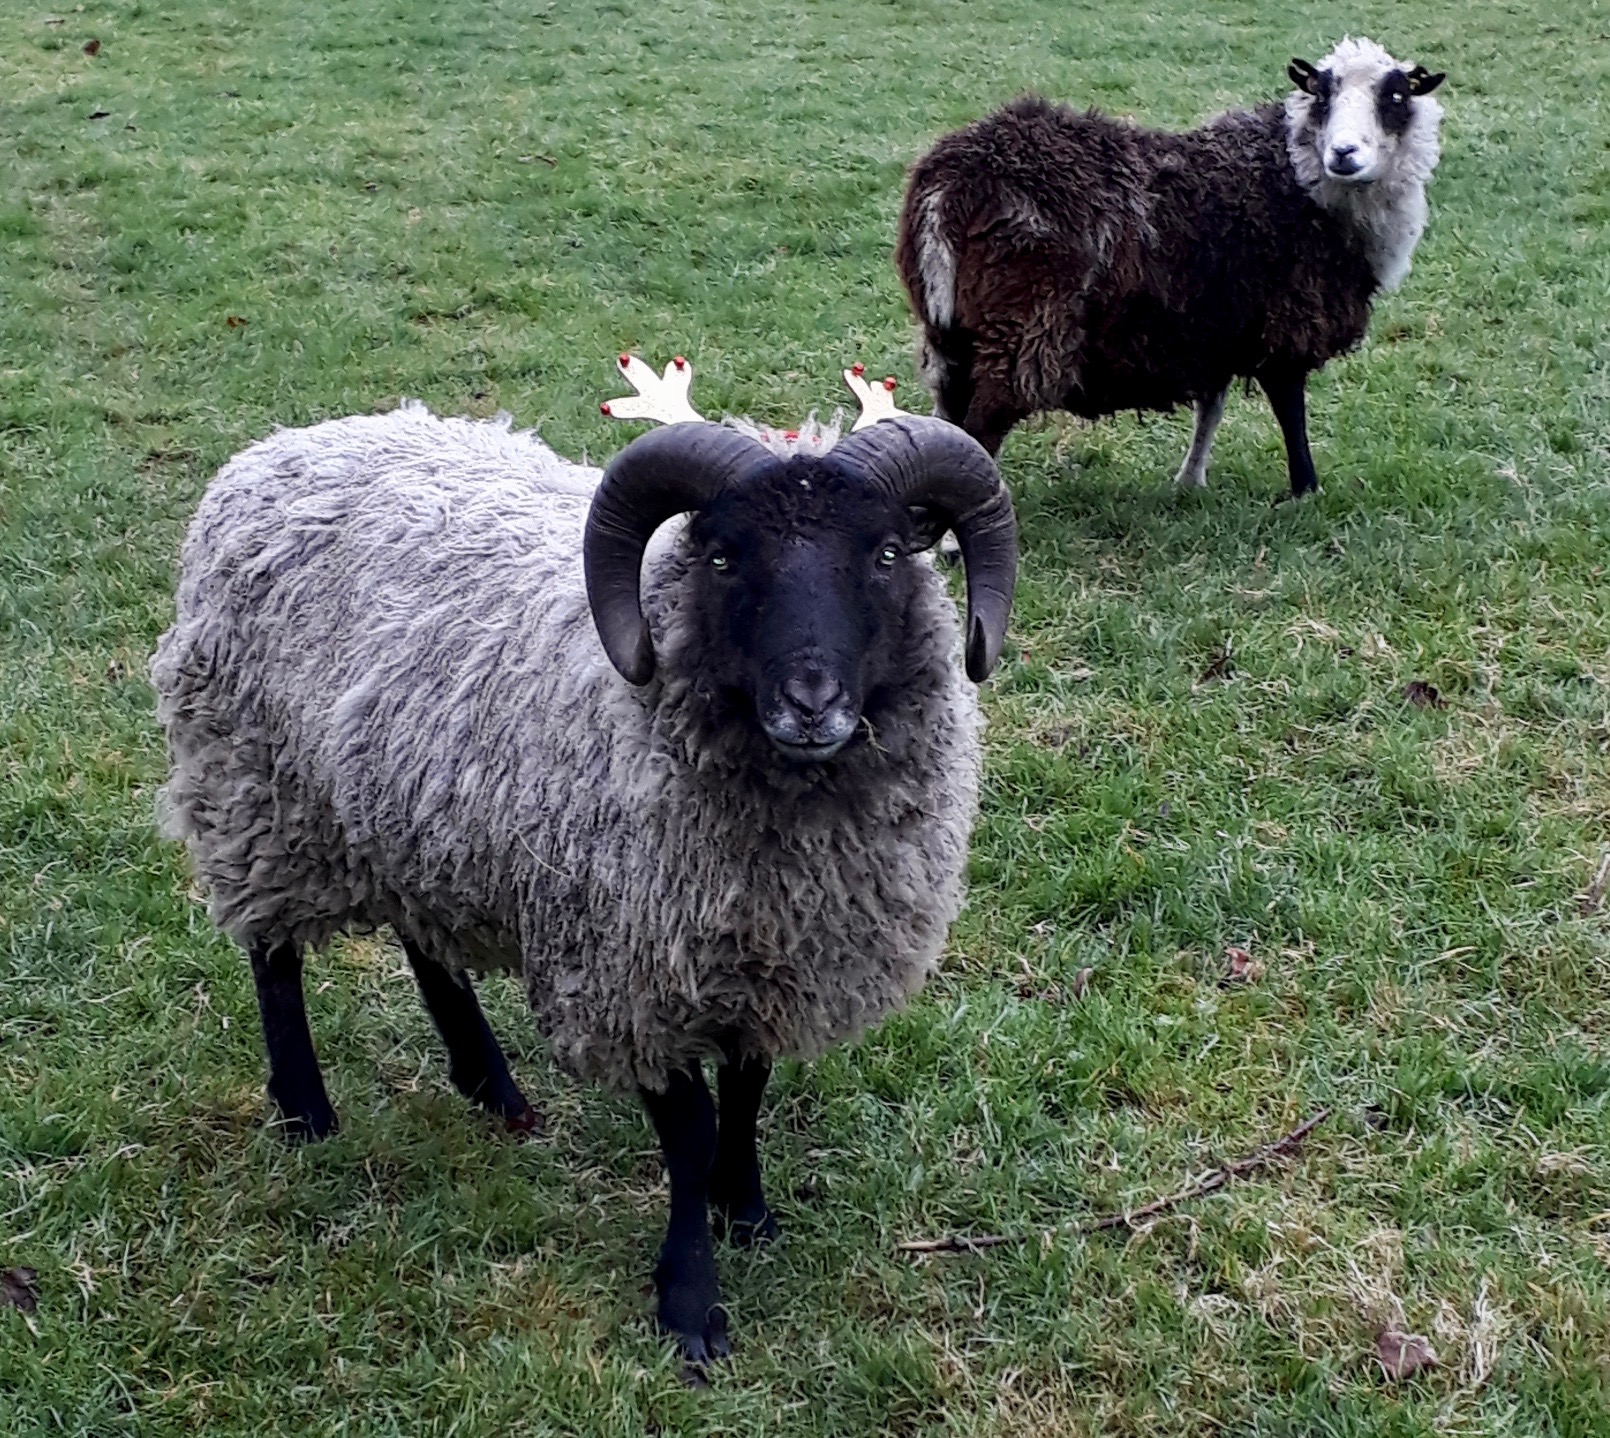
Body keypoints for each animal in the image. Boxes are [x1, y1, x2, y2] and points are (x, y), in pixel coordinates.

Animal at [150, 393, 1017, 1367]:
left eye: (887, 554)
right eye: (723, 557)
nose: (811, 703)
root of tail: (284, 447)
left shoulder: (762, 956)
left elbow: (748, 1090)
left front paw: (746, 1209)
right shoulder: (630, 971)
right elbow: (689, 1131)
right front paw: (690, 1303)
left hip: (409, 806)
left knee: (423, 937)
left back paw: (491, 1088)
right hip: (256, 790)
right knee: (272, 955)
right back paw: (305, 1111)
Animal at [895, 36, 1446, 496]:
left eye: (1397, 97)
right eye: (1321, 95)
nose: (1344, 153)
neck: (1296, 177)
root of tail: (953, 183)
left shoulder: (1214, 325)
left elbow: (1212, 406)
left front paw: (1190, 481)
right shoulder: (1287, 320)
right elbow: (1291, 410)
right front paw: (1305, 490)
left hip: (949, 328)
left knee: (949, 416)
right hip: (1024, 323)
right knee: (985, 421)